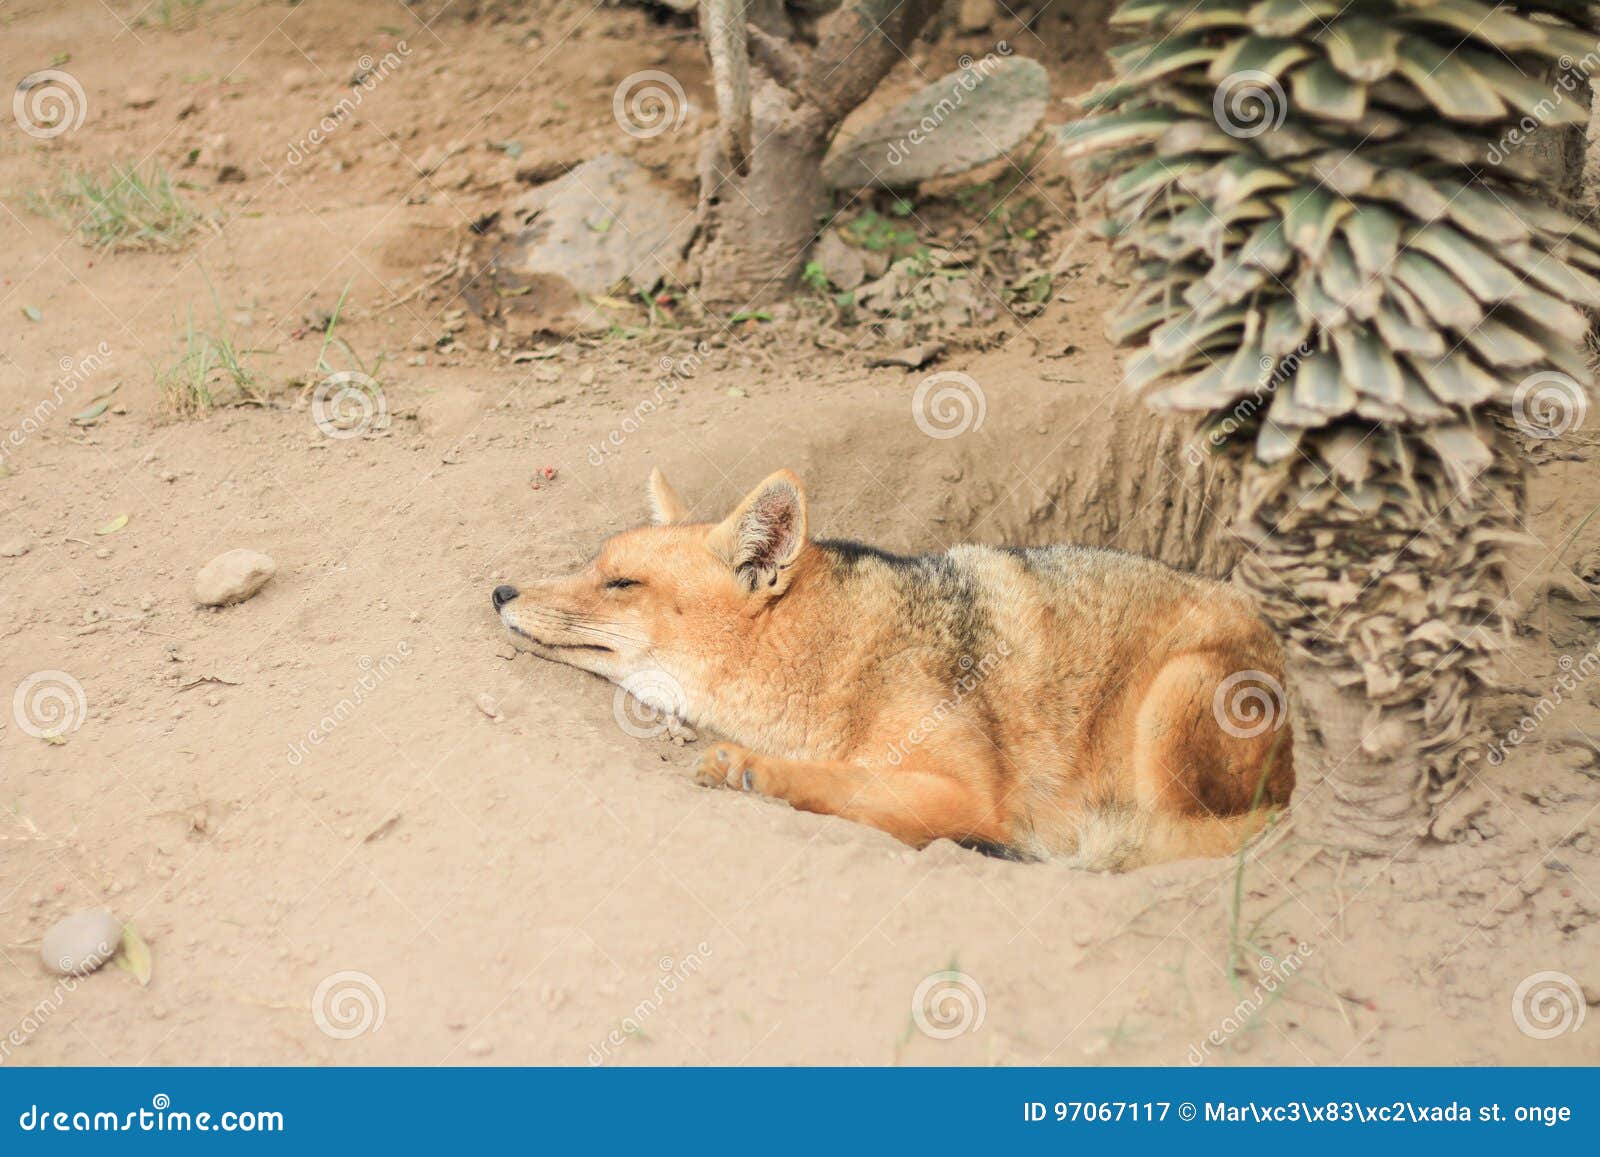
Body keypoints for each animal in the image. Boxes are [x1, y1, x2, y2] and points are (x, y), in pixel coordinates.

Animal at [492, 468, 1293, 868]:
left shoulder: (966, 795)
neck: (841, 662)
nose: (500, 591)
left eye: (621, 583)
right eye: (592, 565)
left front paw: (757, 770)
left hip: (1171, 705)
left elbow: (848, 787)